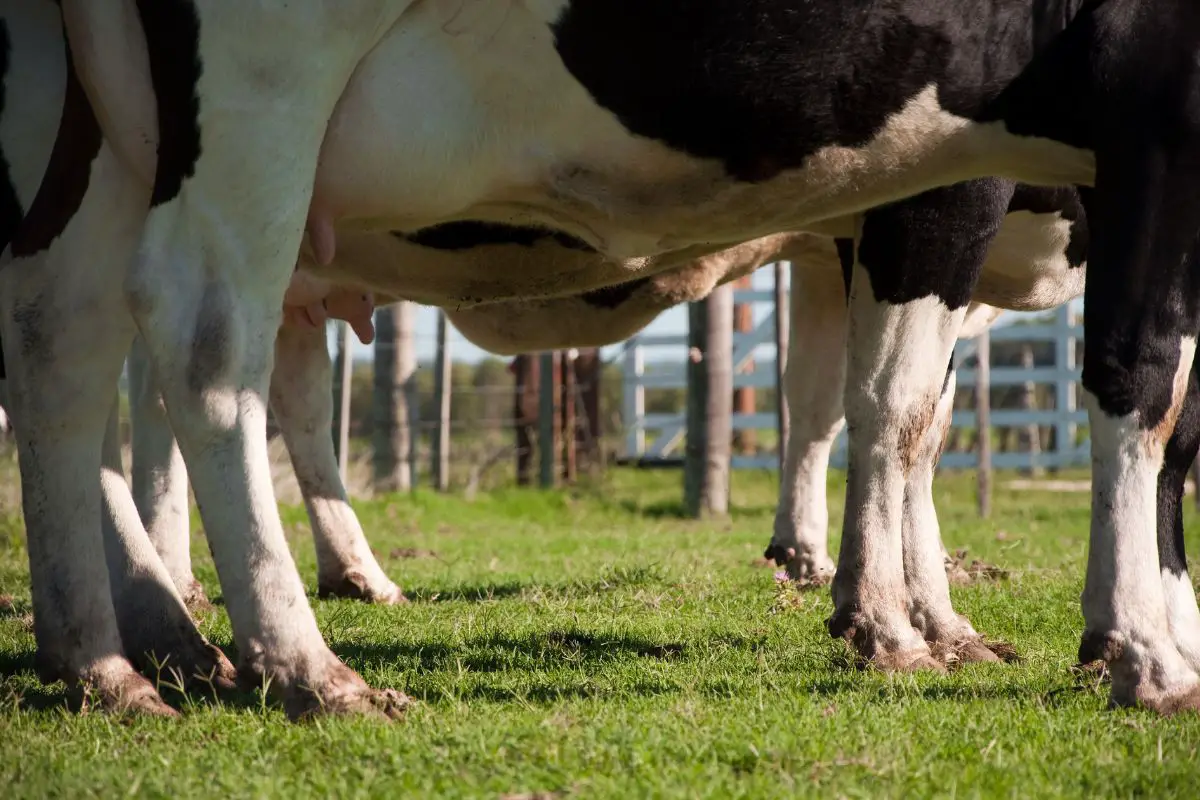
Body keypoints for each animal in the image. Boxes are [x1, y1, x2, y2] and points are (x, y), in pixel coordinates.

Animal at [4, 0, 1200, 718]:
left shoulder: (856, 223)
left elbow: (852, 403)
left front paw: (902, 601)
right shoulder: (965, 171)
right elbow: (1086, 387)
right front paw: (1132, 647)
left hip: (100, 132)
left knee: (64, 337)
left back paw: (115, 653)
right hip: (259, 84)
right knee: (201, 344)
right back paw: (296, 658)